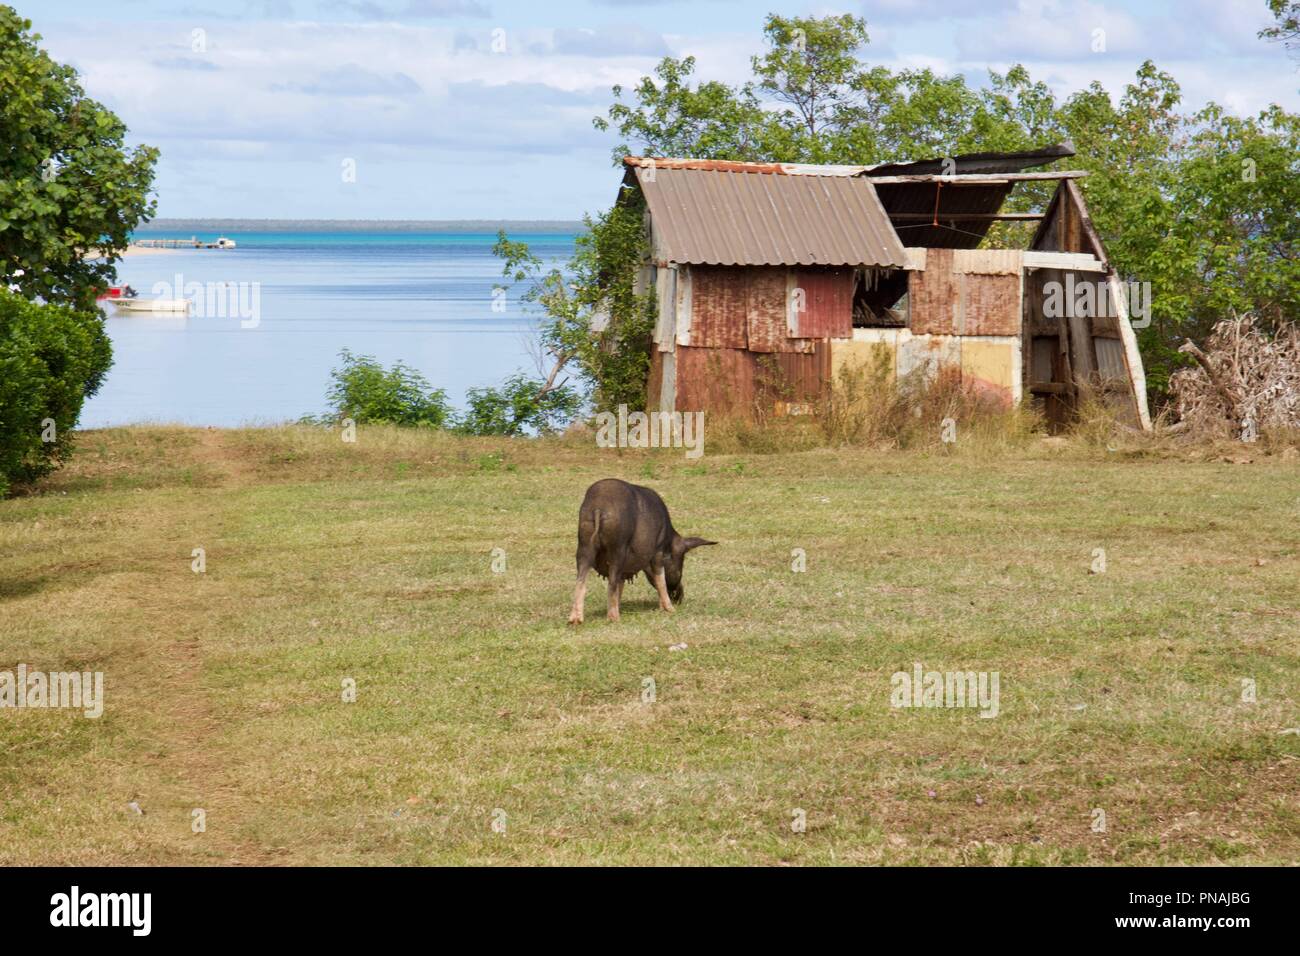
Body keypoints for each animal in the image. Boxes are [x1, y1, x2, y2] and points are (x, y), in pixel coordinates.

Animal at [568, 478, 717, 624]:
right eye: (681, 567)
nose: (679, 599)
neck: (668, 539)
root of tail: (599, 508)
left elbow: (622, 585)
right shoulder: (658, 550)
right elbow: (660, 579)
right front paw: (670, 610)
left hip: (584, 545)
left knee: (581, 581)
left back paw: (575, 620)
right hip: (617, 549)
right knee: (611, 583)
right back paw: (614, 618)